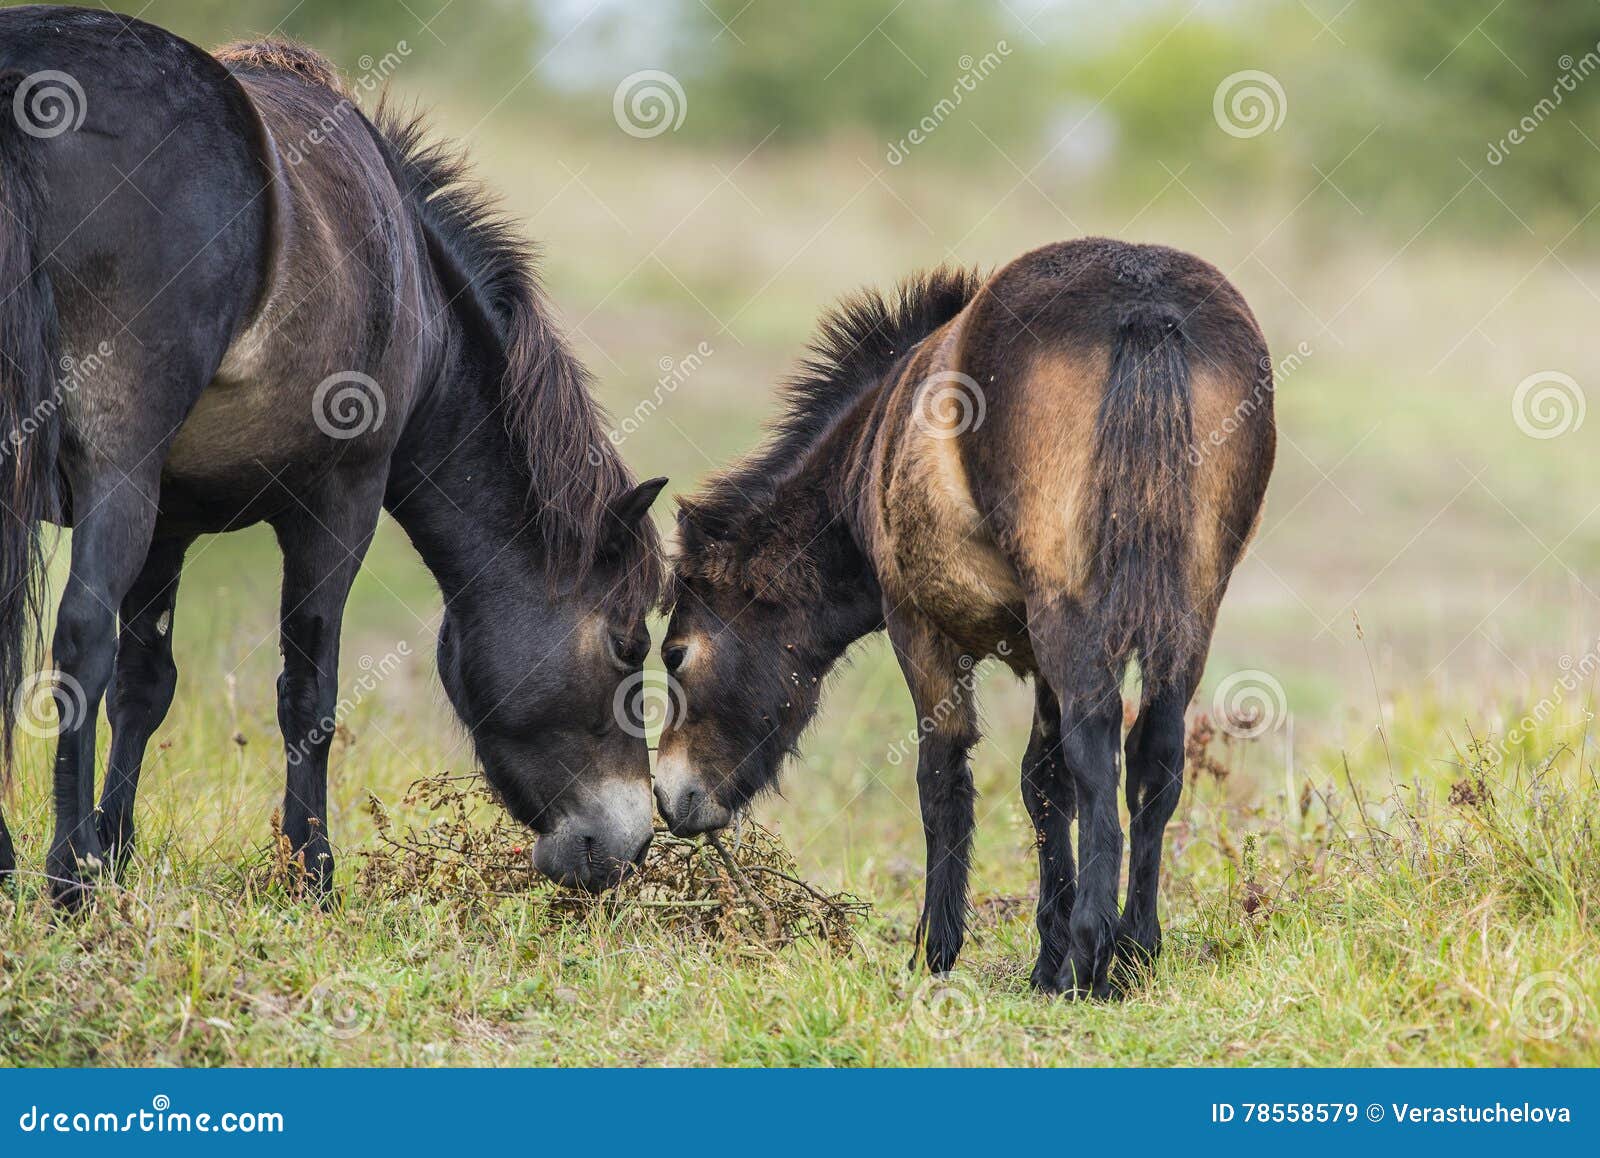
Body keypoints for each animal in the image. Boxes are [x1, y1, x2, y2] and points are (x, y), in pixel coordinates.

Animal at [0, 8, 667, 906]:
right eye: (627, 644)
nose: (628, 846)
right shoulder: (337, 504)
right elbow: (309, 689)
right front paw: (310, 870)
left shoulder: (170, 524)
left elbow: (146, 687)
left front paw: (119, 846)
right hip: (120, 471)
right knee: (80, 637)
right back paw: (67, 877)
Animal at [655, 239, 1275, 997]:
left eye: (676, 652)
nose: (670, 796)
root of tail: (1143, 306)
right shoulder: (1038, 659)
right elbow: (1044, 785)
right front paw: (1044, 957)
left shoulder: (919, 627)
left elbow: (943, 777)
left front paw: (936, 951)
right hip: (1188, 618)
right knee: (1153, 757)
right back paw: (1133, 951)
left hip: (1072, 616)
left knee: (1098, 746)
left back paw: (1092, 958)